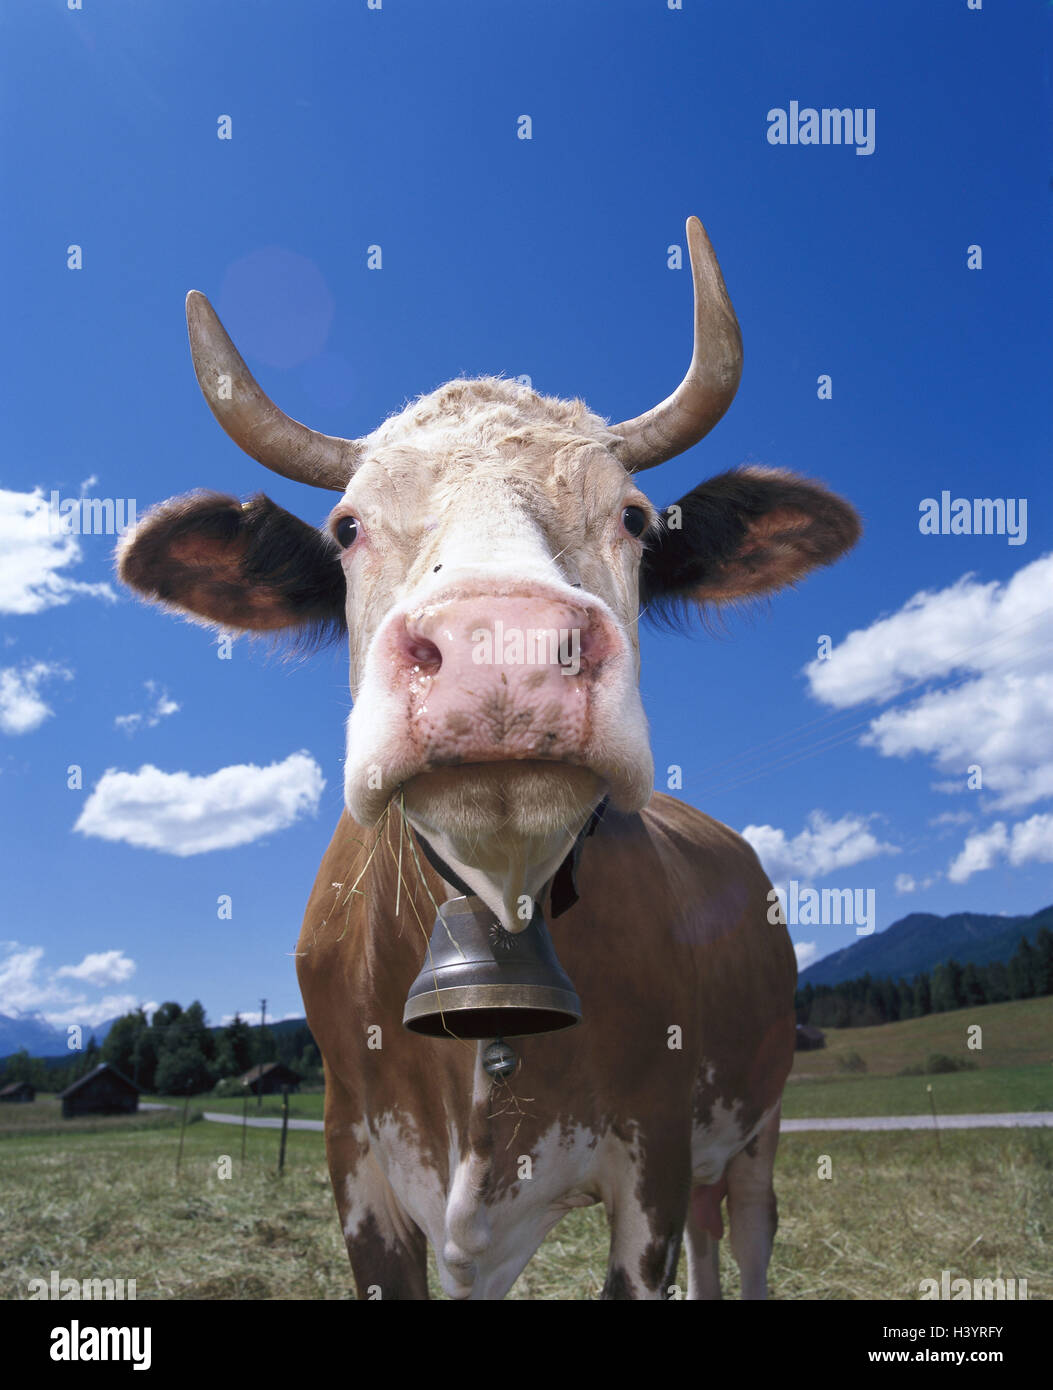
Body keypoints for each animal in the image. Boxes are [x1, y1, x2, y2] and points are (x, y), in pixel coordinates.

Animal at [118, 217, 860, 1299]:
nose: (499, 645)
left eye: (633, 517)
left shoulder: (655, 1154)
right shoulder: (356, 1157)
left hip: (757, 1113)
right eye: (347, 527)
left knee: (750, 1225)